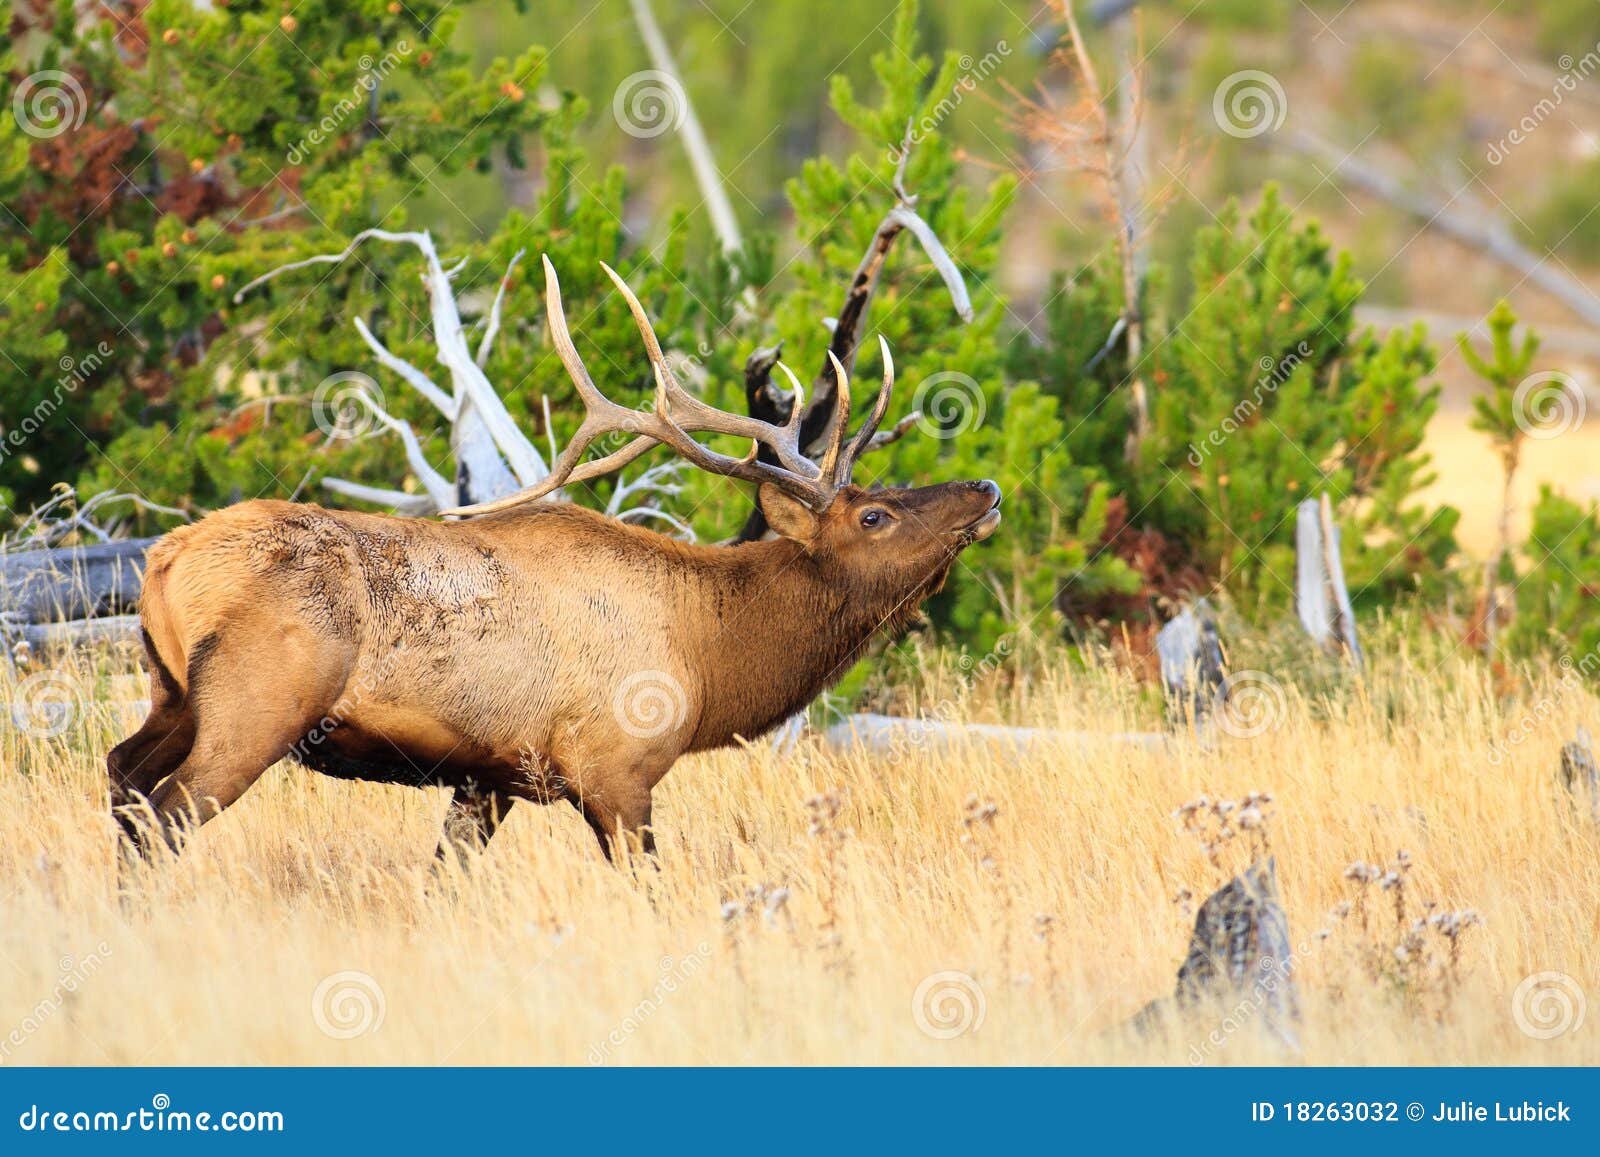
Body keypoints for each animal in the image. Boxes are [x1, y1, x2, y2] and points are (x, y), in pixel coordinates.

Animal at [107, 256, 1001, 864]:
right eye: (875, 514)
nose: (987, 488)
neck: (711, 655)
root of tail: (165, 559)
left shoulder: (487, 779)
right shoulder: (617, 771)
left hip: (171, 692)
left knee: (122, 775)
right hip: (256, 704)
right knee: (166, 813)